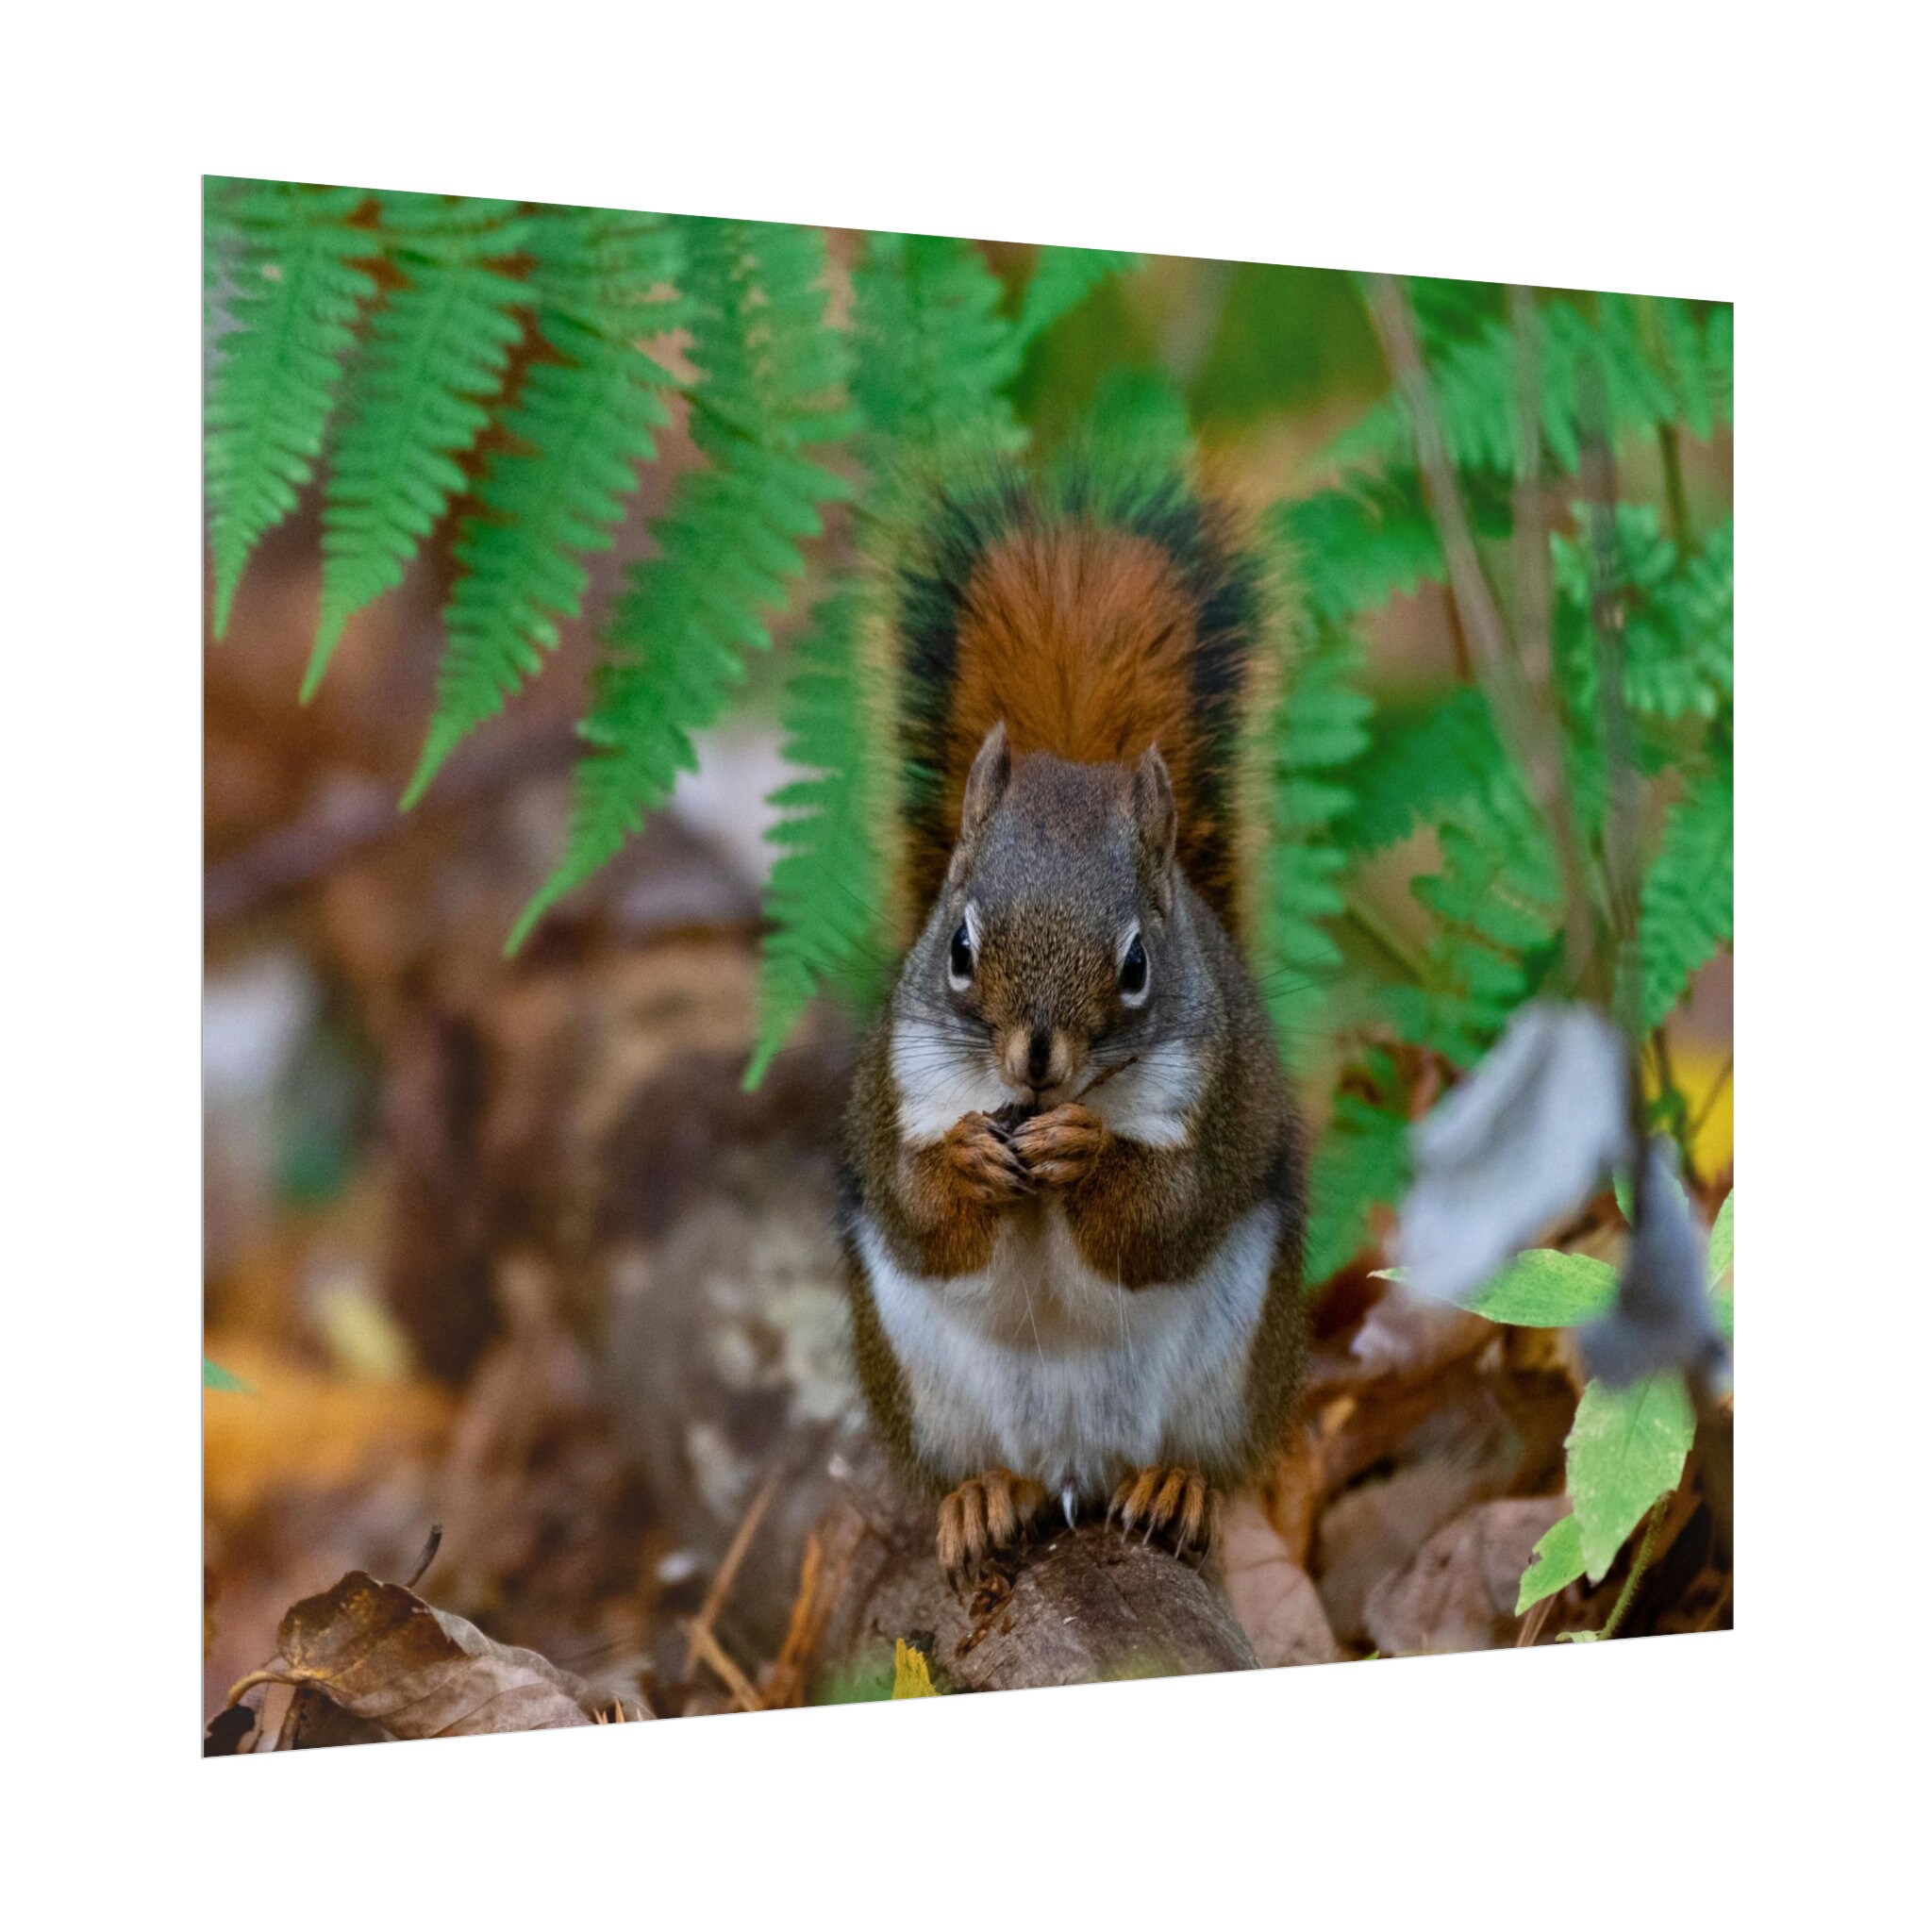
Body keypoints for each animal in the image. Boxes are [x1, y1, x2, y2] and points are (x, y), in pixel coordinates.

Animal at [839, 464, 1308, 1580]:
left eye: (1136, 965)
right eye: (958, 948)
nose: (1037, 1062)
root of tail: (1073, 1472)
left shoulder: (1213, 1099)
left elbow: (1165, 1215)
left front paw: (1086, 1152)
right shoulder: (890, 1087)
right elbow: (916, 1209)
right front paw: (967, 1160)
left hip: (1232, 1378)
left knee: (1201, 1460)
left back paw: (1175, 1487)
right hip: (923, 1393)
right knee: (978, 1466)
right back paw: (981, 1499)